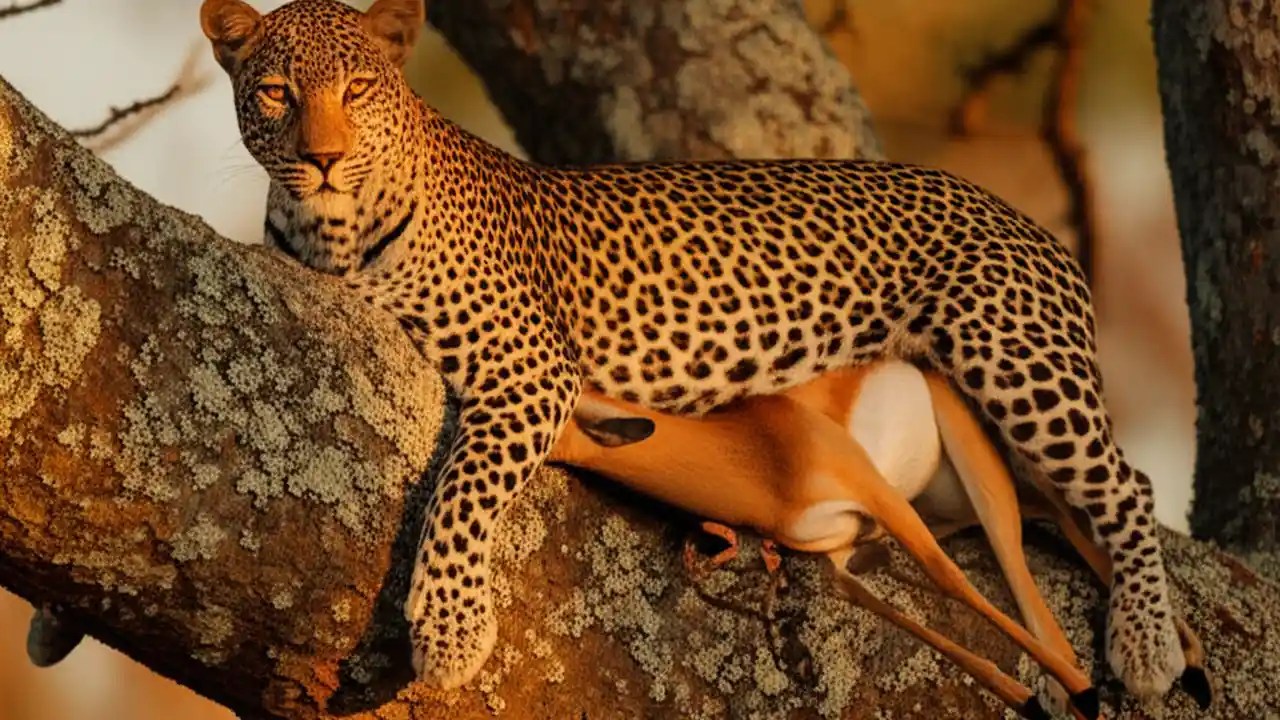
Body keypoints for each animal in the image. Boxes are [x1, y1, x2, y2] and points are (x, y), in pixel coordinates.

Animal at [200, 0, 1189, 704]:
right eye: (277, 92)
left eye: (358, 89)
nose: (322, 159)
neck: (332, 231)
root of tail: (1038, 233)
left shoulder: (532, 370)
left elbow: (465, 488)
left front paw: (448, 630)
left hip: (1017, 361)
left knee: (1128, 488)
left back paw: (1146, 642)